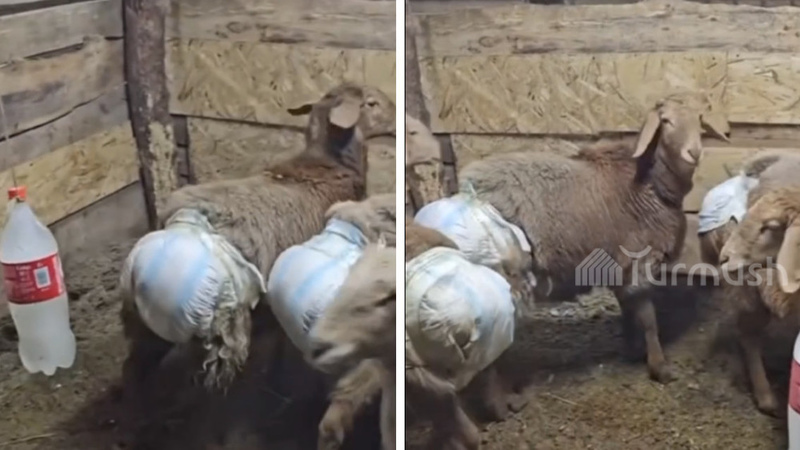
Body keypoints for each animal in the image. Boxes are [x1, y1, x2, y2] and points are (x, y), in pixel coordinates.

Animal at [118, 83, 395, 410]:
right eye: (372, 103)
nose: (399, 121)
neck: (327, 164)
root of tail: (182, 221)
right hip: (217, 327)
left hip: (147, 323)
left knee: (136, 367)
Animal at [458, 96, 729, 383]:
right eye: (666, 121)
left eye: (699, 121)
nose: (694, 153)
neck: (650, 185)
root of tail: (466, 186)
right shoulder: (639, 262)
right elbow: (648, 319)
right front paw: (659, 367)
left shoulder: (619, 266)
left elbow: (629, 311)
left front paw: (632, 350)